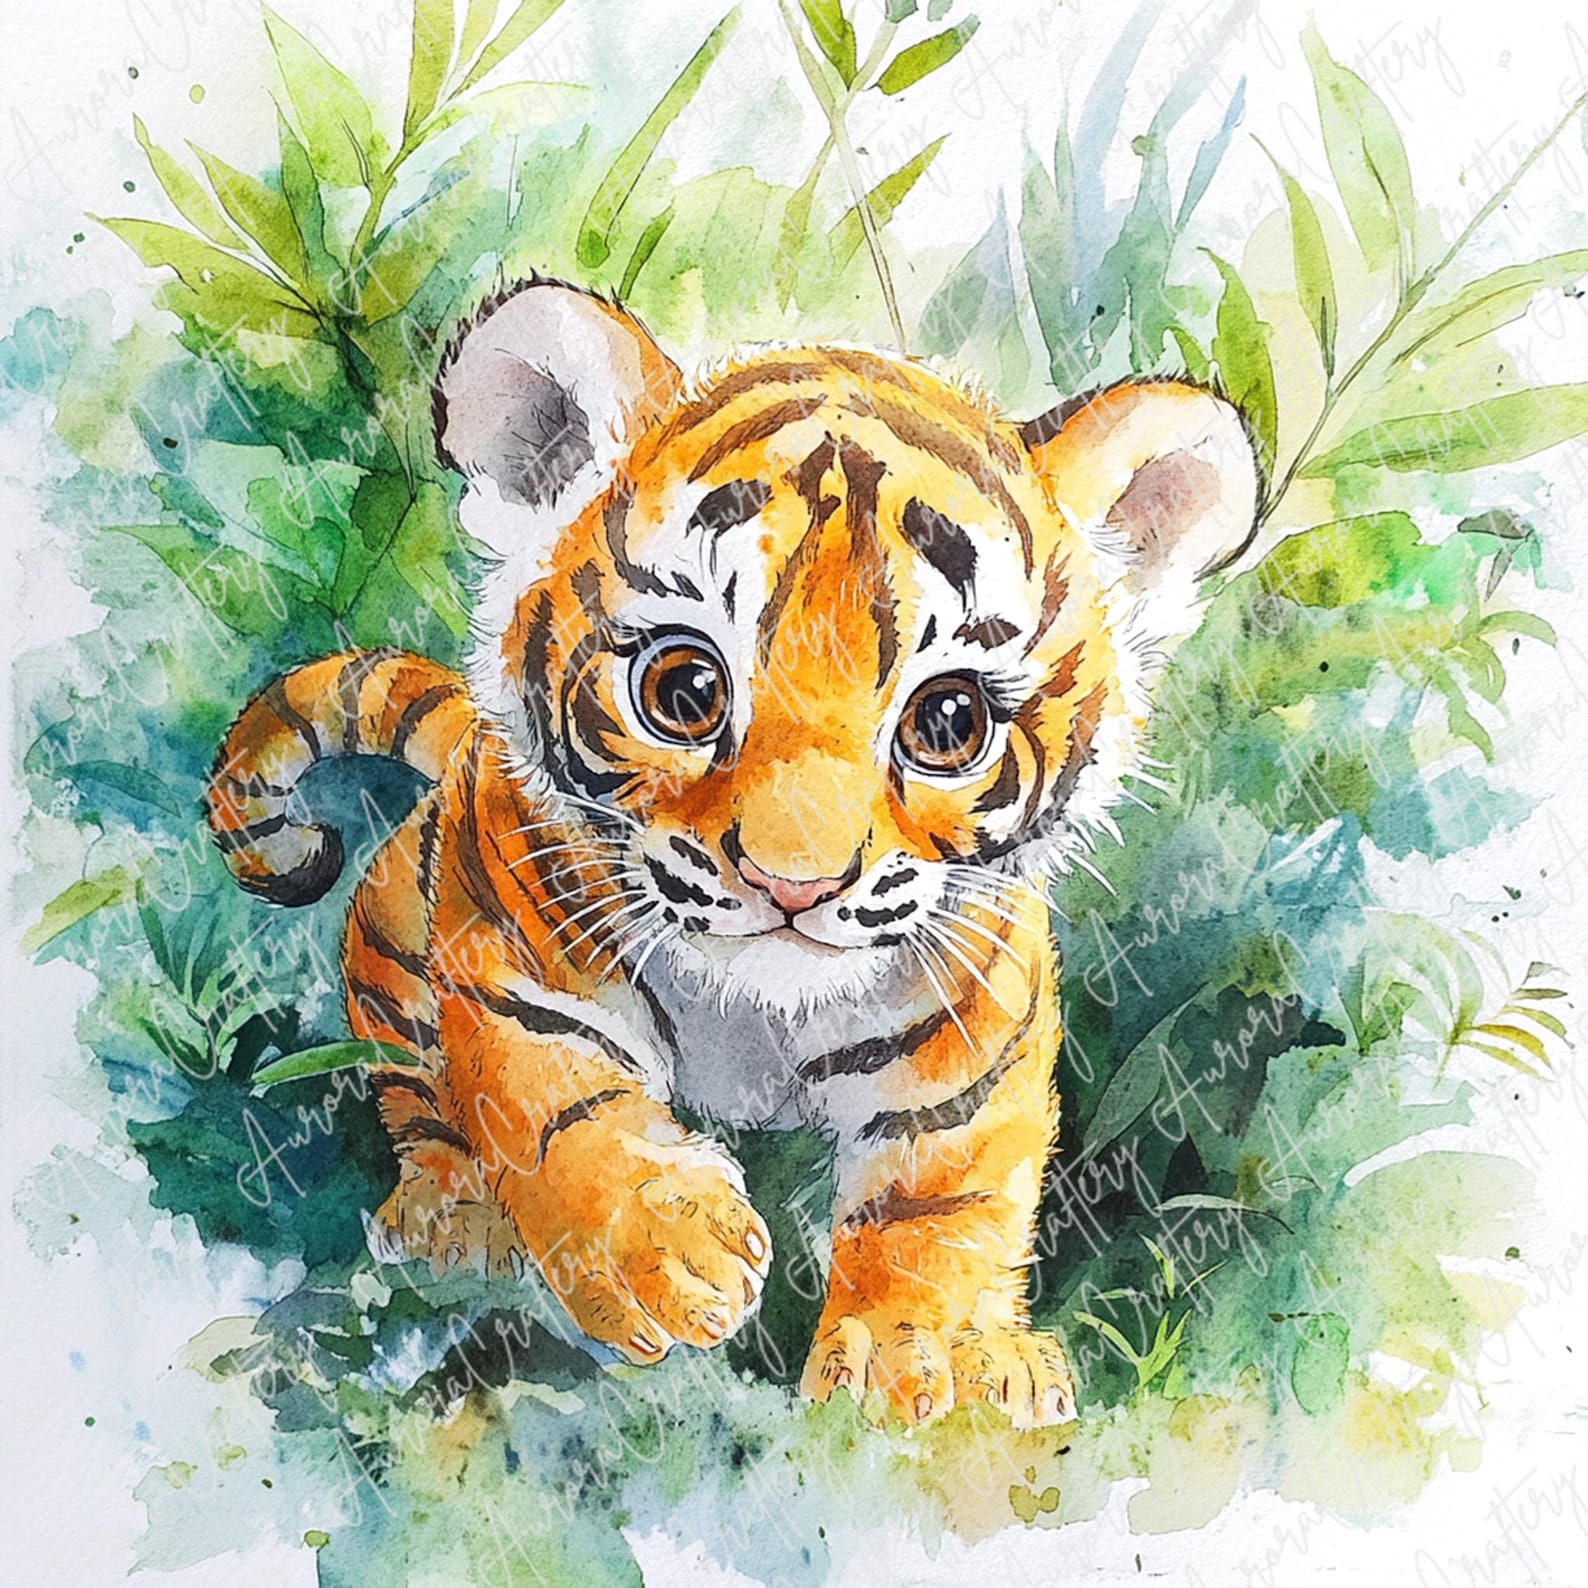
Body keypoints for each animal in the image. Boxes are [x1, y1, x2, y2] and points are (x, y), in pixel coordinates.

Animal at [205, 278, 1258, 1429]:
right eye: (685, 690)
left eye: (949, 722)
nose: (793, 883)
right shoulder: (514, 963)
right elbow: (557, 1106)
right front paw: (664, 1256)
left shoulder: (976, 1022)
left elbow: (941, 1193)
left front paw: (927, 1361)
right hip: (397, 937)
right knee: (417, 1096)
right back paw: (454, 1220)